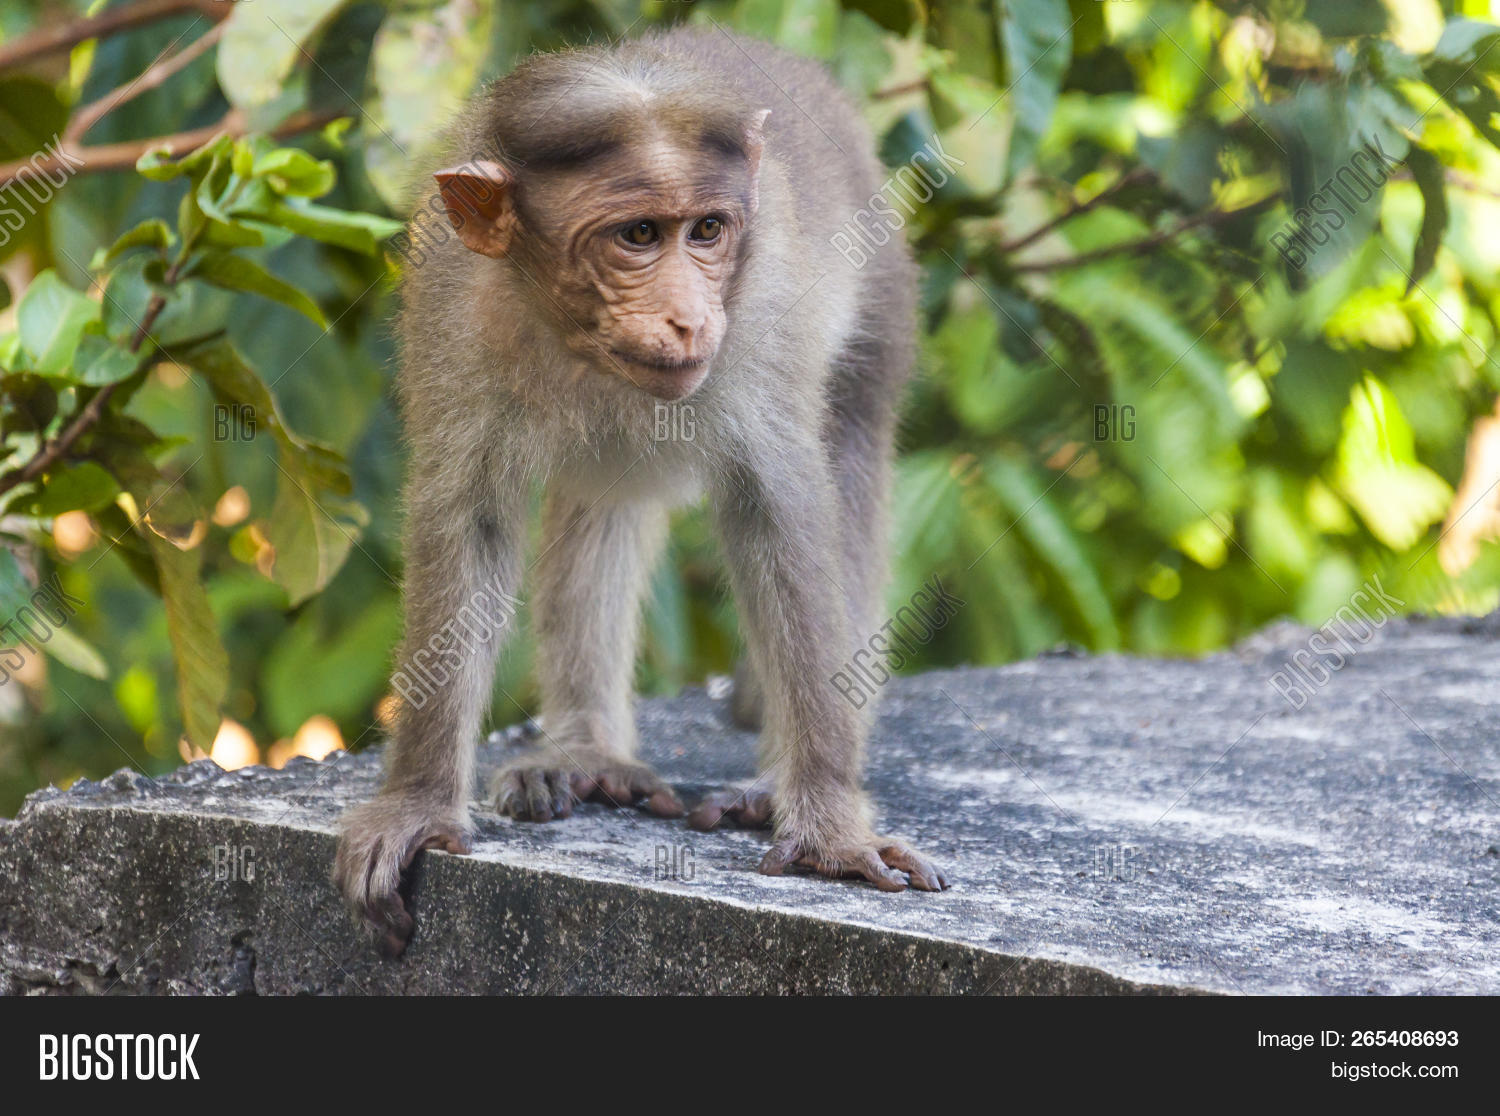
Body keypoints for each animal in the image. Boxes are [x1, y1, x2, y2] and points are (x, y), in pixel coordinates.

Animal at [333, 25, 949, 958]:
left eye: (707, 230)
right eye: (636, 235)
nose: (690, 318)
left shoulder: (759, 318)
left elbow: (782, 510)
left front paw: (829, 827)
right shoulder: (451, 306)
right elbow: (468, 518)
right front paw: (416, 804)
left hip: (882, 299)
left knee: (846, 456)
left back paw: (770, 782)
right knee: (604, 494)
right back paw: (589, 758)